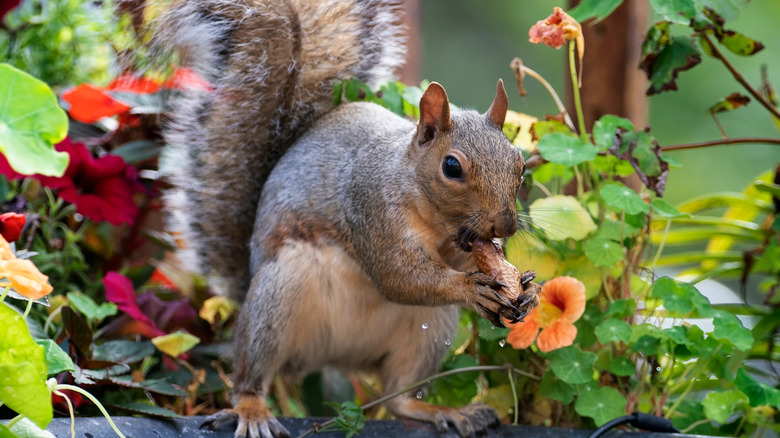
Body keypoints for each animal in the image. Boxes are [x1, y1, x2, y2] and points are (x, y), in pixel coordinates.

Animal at [149, 0, 539, 437]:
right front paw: (473, 289)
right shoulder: (369, 209)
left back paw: (447, 412)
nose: (505, 226)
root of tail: (336, 357)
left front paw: (526, 290)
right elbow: (398, 277)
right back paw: (252, 410)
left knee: (400, 397)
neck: (440, 223)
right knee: (253, 372)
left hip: (429, 330)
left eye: (520, 163)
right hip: (277, 296)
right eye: (451, 167)